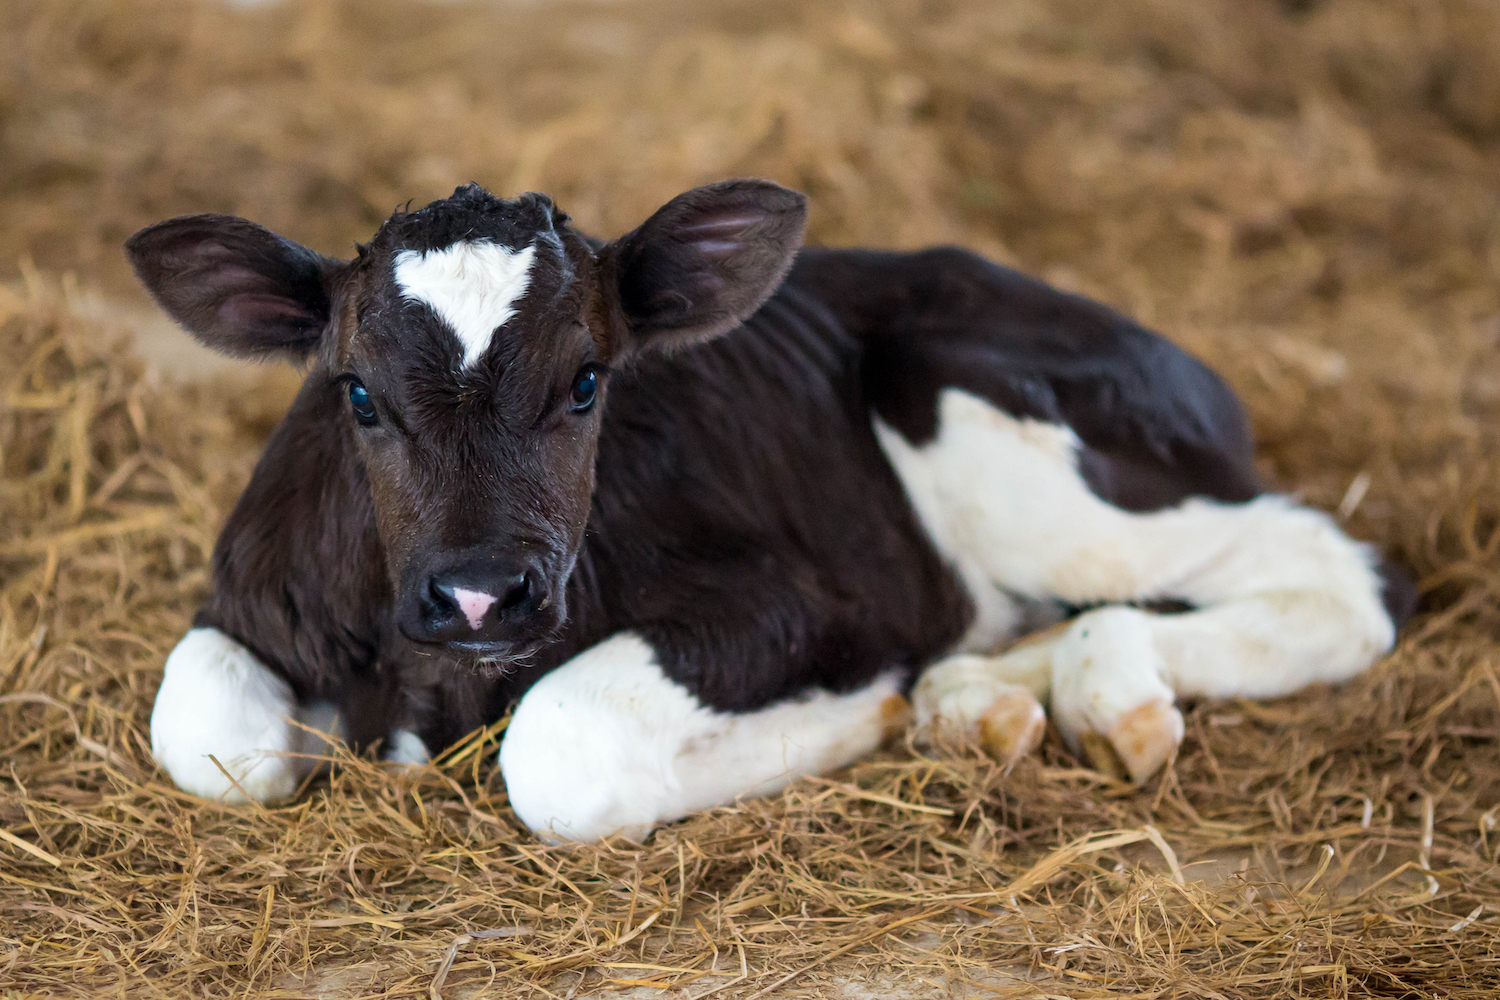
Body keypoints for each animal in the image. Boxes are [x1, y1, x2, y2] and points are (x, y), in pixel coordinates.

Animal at [126, 180, 1413, 841]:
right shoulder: (254, 595)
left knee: (1339, 571)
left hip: (992, 419)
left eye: (588, 380)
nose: (483, 591)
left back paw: (1085, 692)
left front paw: (854, 717)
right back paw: (978, 702)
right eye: (356, 393)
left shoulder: (799, 601)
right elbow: (205, 730)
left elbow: (561, 742)